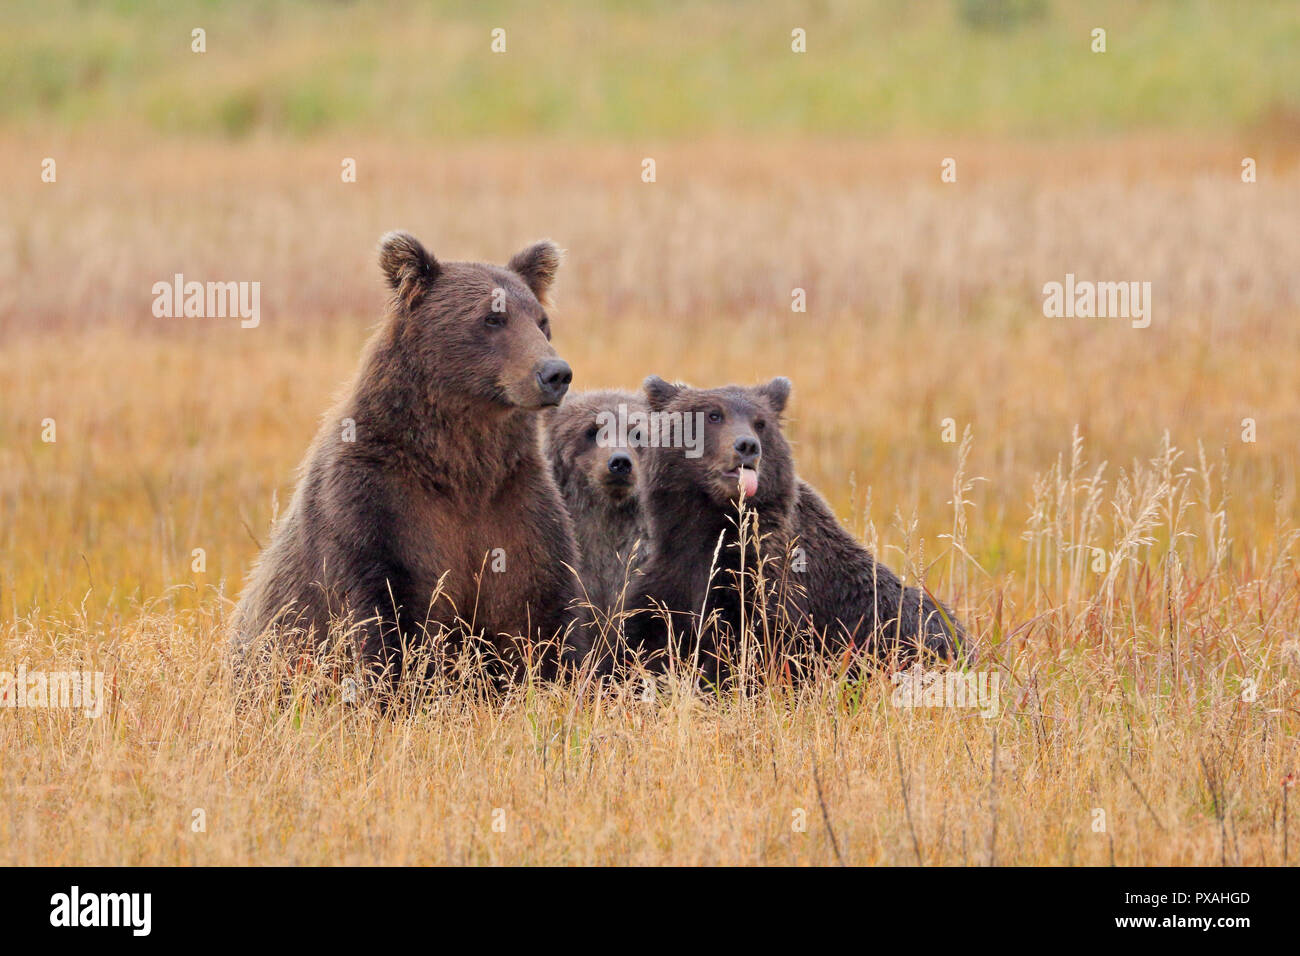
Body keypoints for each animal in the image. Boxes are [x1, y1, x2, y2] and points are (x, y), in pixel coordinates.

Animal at [231, 232, 585, 688]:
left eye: (542, 322)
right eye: (493, 318)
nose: (555, 373)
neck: (460, 467)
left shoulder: (515, 503)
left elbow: (539, 610)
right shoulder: (373, 503)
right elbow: (378, 611)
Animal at [623, 376, 963, 682]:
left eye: (760, 423)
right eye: (713, 415)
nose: (747, 446)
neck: (709, 523)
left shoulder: (769, 585)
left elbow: (749, 648)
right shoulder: (669, 577)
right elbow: (645, 640)